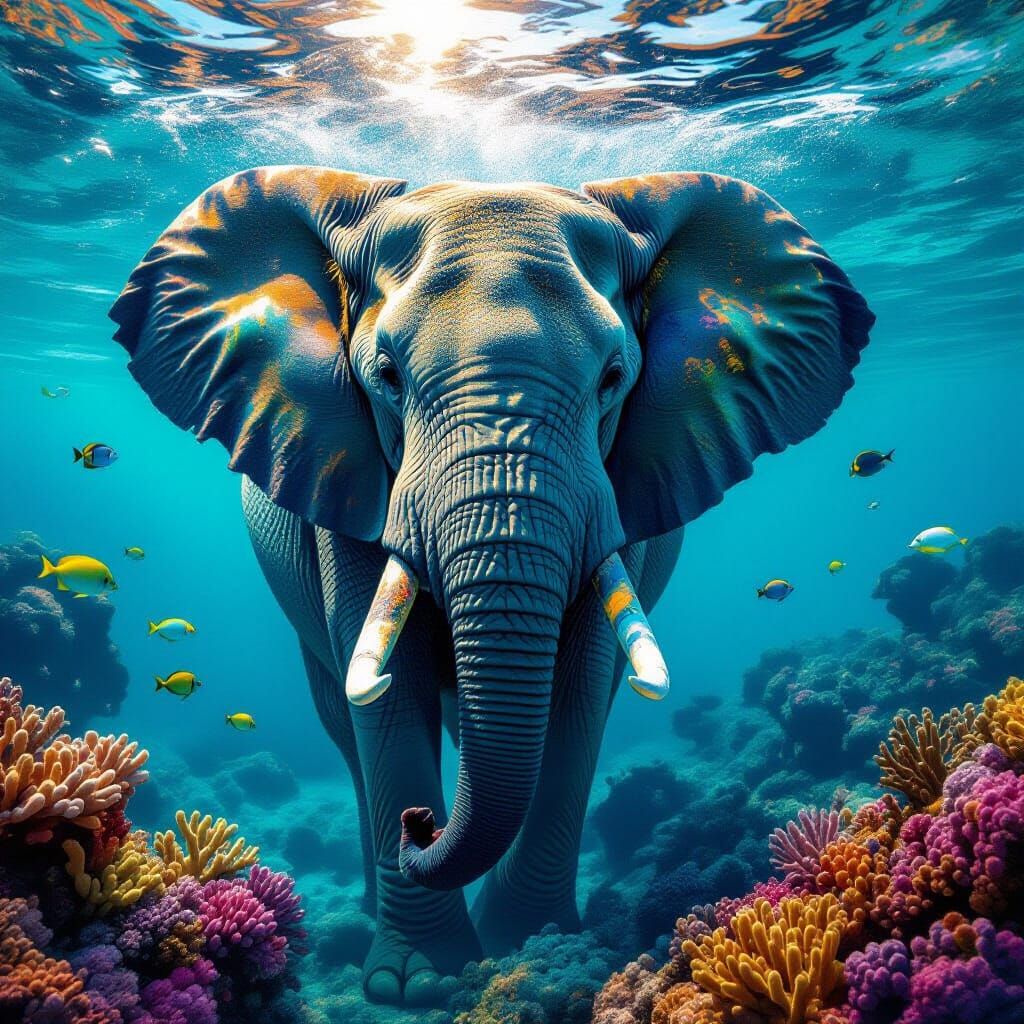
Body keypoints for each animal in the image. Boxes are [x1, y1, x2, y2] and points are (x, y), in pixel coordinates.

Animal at [109, 167, 873, 1005]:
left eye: (614, 379)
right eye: (386, 376)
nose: (418, 824)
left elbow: (580, 690)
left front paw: (529, 945)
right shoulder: (348, 477)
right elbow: (392, 695)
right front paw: (415, 982)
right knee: (343, 723)